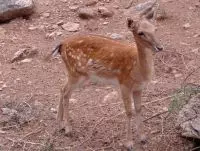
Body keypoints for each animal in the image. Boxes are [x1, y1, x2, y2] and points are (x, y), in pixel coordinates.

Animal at [46, 1, 162, 150]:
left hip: (76, 74)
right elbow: (129, 111)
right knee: (66, 93)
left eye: (155, 29)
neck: (138, 70)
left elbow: (139, 109)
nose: (159, 47)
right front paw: (129, 143)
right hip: (76, 72)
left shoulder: (138, 88)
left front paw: (142, 137)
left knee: (62, 88)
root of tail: (61, 45)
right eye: (140, 32)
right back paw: (68, 129)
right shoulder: (124, 84)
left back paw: (59, 124)